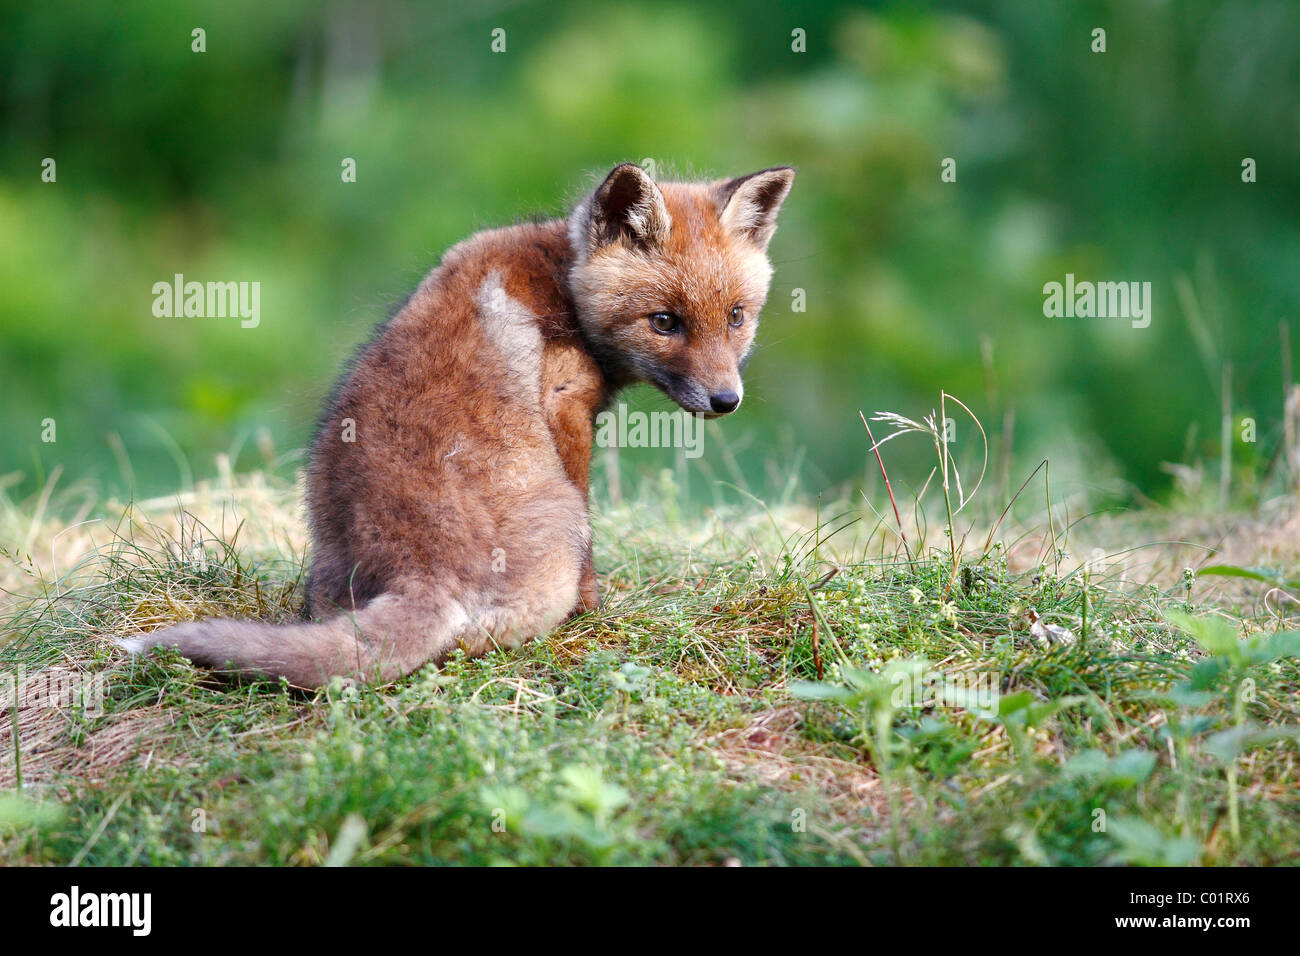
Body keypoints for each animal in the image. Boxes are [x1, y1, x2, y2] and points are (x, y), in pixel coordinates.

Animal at [119, 162, 795, 688]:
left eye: (736, 317)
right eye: (664, 322)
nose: (726, 400)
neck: (559, 281)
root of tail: (421, 575)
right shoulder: (565, 407)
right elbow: (592, 551)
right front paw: (596, 612)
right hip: (560, 521)